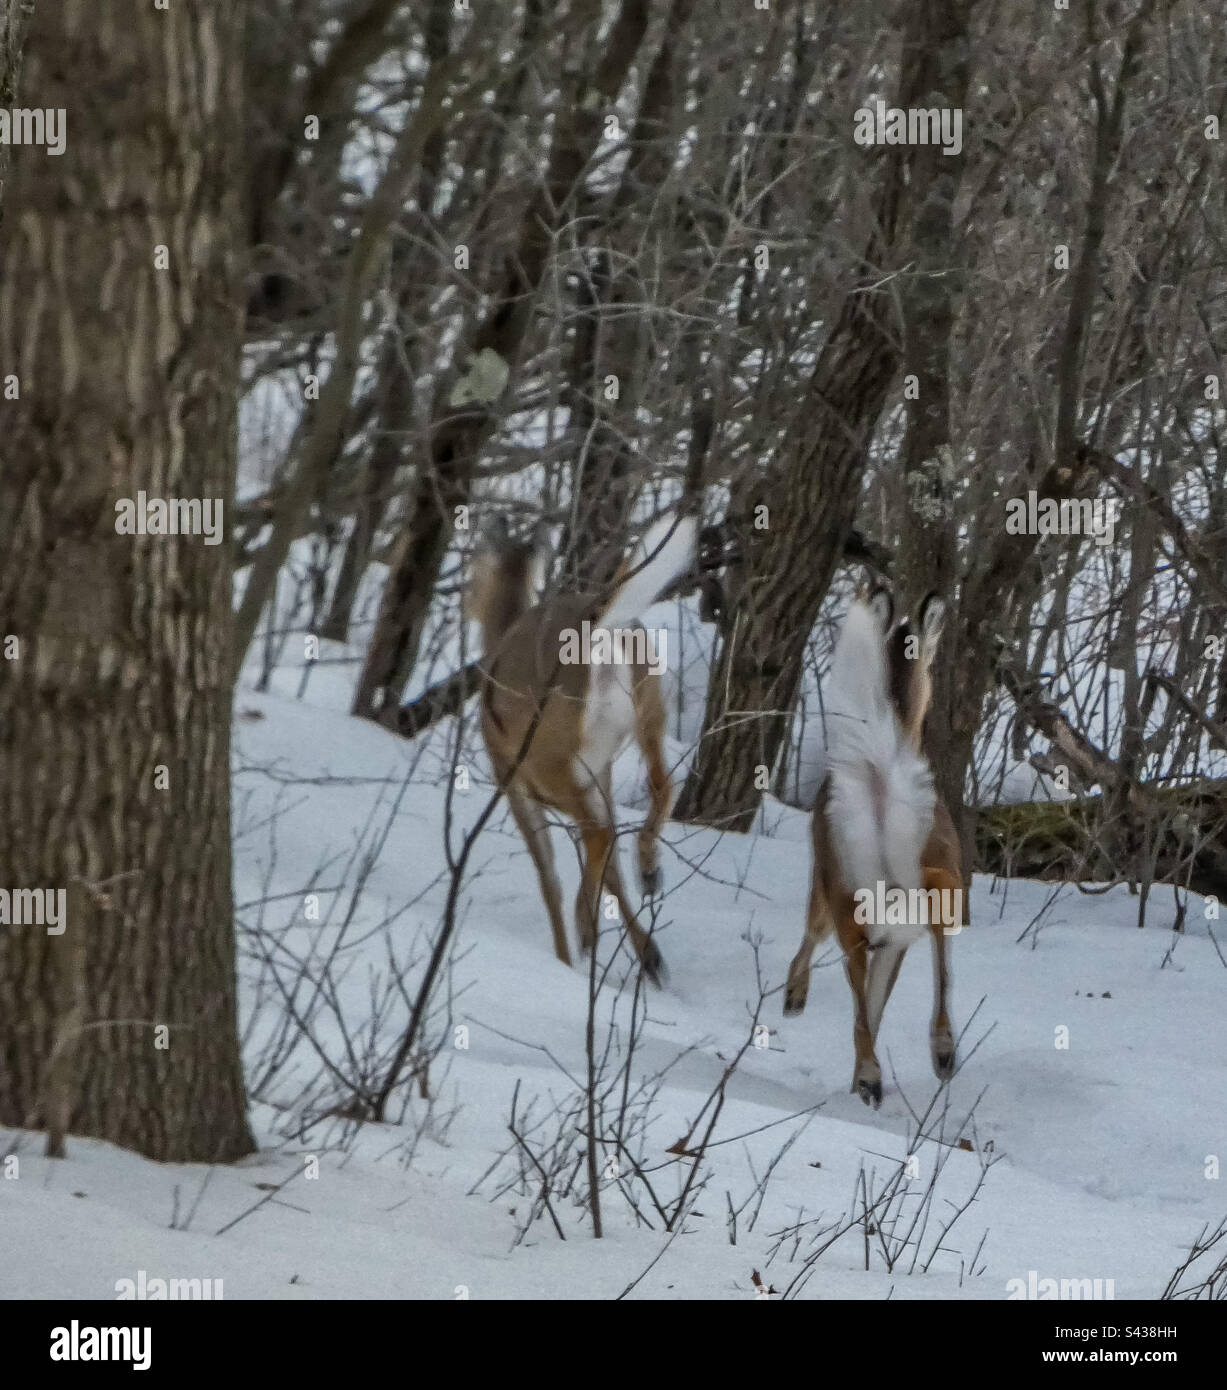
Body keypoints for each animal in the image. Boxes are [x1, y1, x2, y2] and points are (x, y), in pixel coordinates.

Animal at [467, 513, 698, 985]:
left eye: (472, 574)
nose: (464, 606)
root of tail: (596, 627)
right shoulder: (601, 775)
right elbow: (611, 872)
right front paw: (650, 956)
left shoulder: (514, 782)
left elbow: (548, 877)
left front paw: (563, 956)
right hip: (648, 698)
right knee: (660, 785)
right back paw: (648, 873)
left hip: (551, 757)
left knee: (597, 834)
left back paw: (584, 925)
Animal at [783, 582, 963, 1108]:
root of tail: (881, 775)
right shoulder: (891, 933)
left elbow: (872, 1000)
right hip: (897, 878)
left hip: (857, 889)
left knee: (861, 980)